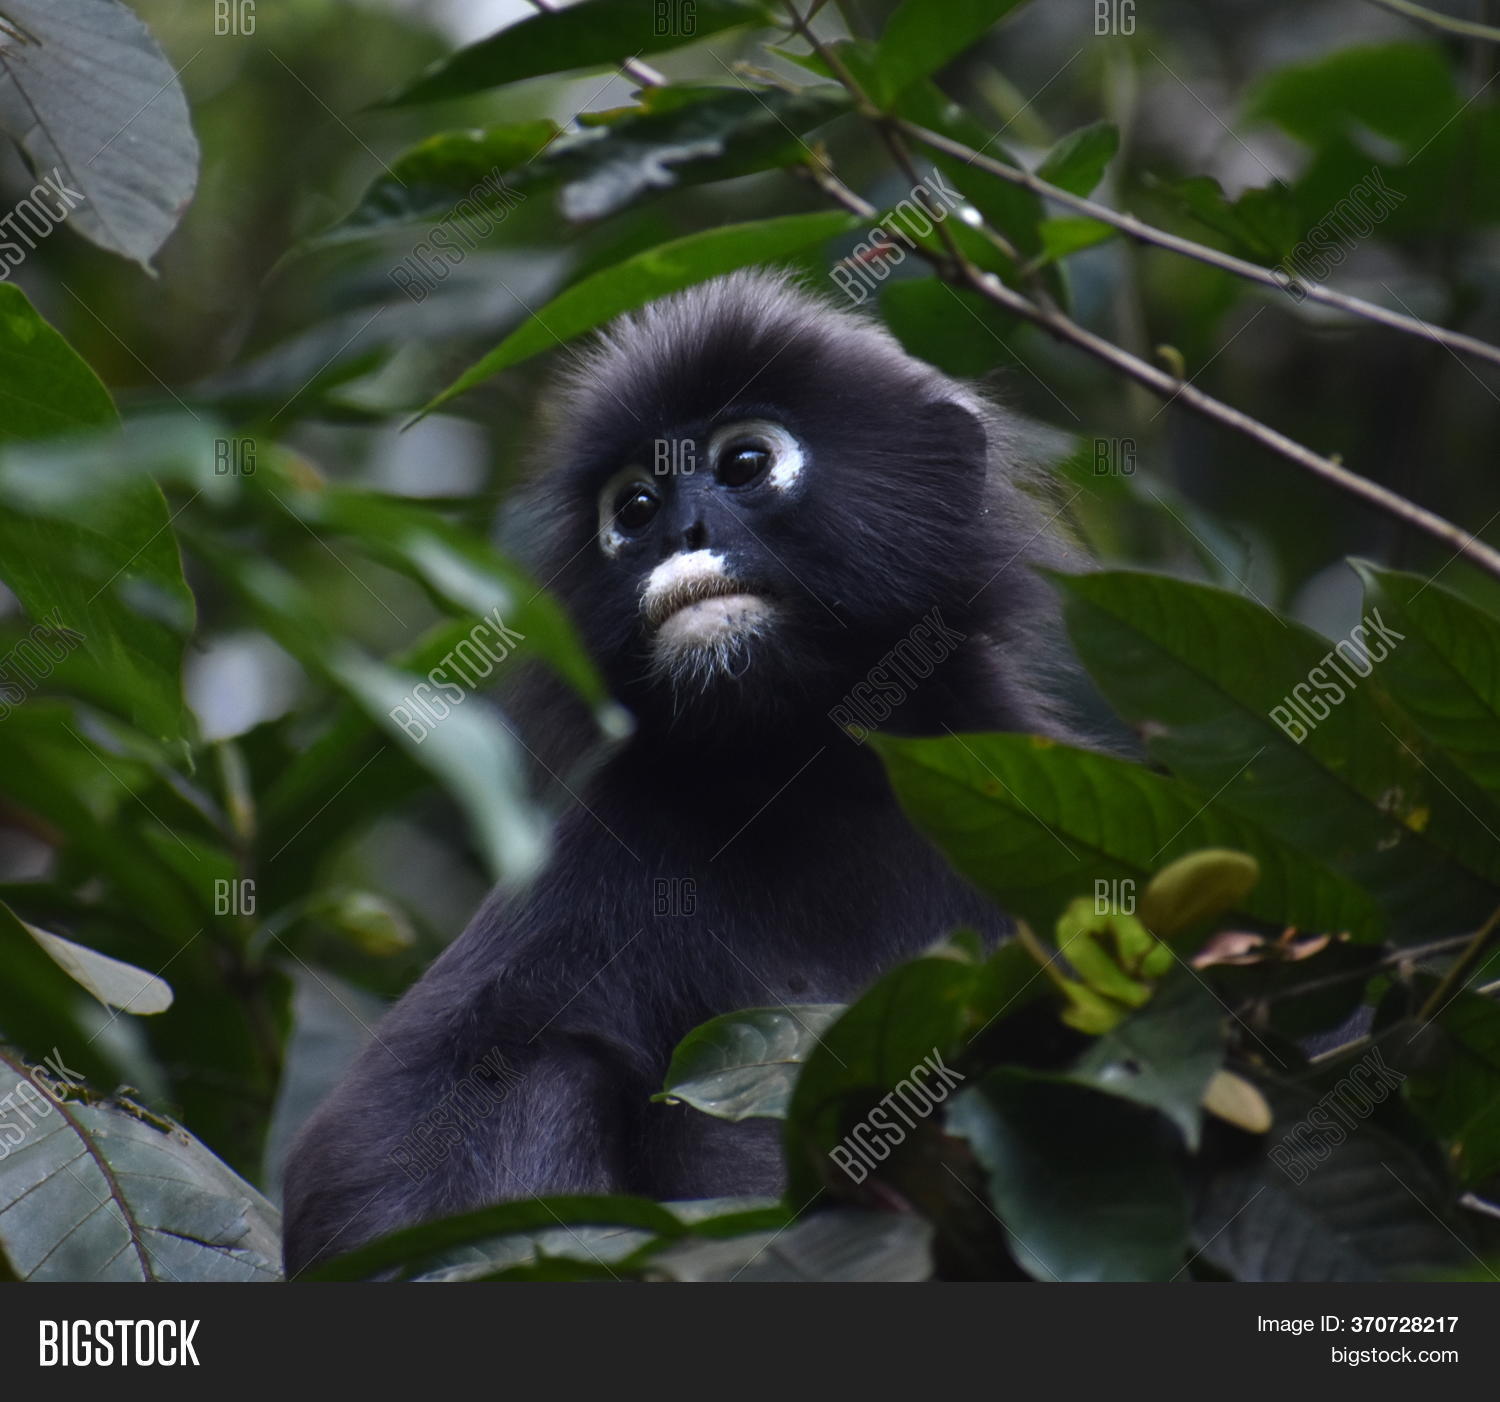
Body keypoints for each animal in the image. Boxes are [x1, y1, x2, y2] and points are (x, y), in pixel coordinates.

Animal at [280, 268, 1084, 1276]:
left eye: (744, 463)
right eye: (632, 510)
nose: (679, 529)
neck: (799, 769)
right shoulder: (602, 837)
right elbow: (382, 1136)